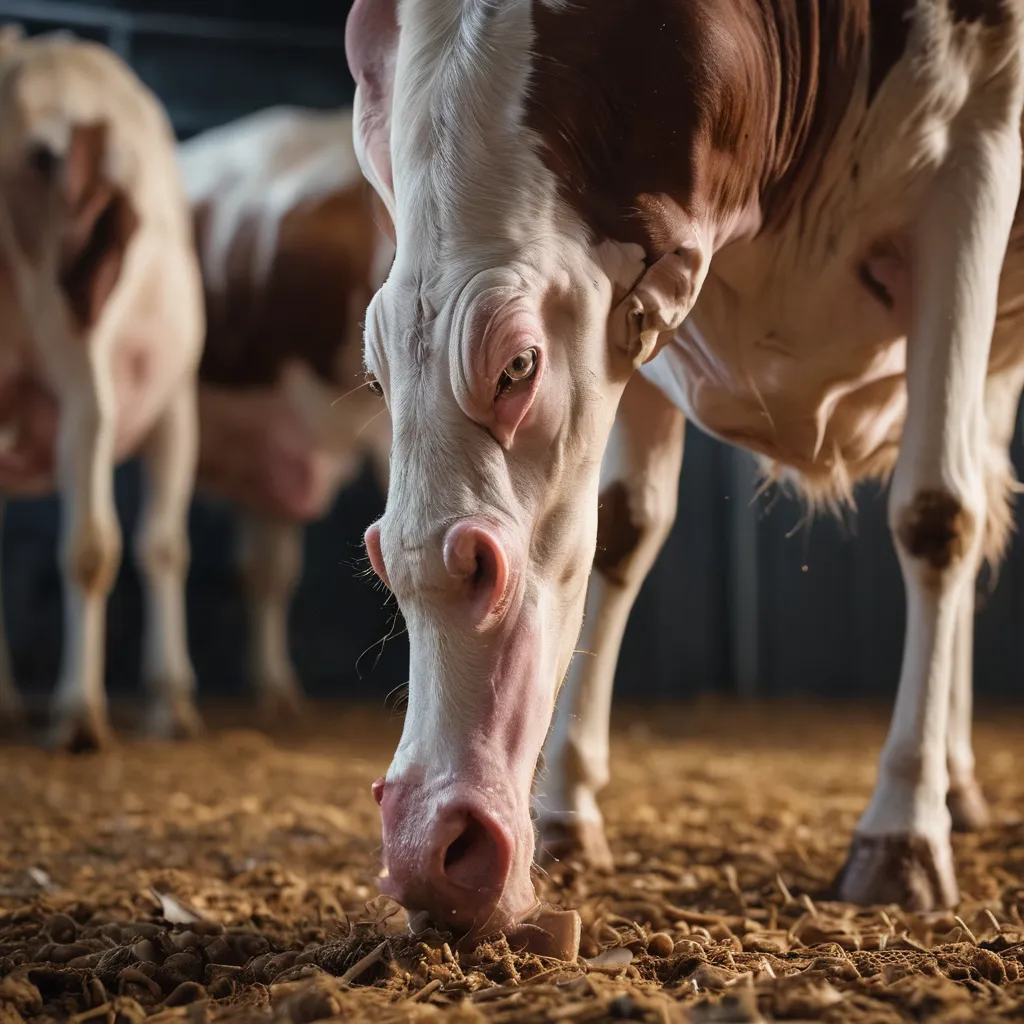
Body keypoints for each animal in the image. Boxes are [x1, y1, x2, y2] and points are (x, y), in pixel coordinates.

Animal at [345, 0, 1024, 949]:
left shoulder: (975, 154)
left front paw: (901, 833)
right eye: (375, 379)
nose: (426, 847)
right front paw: (567, 812)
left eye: (518, 365)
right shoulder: (639, 300)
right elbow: (619, 530)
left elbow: (937, 511)